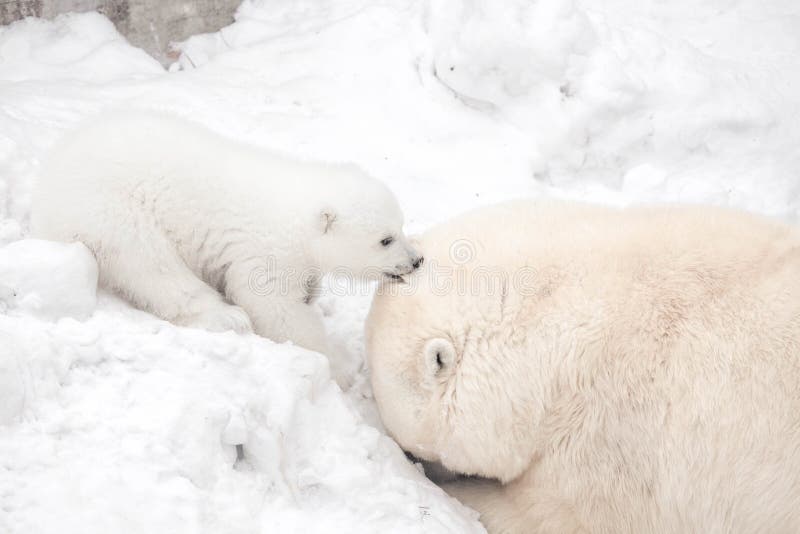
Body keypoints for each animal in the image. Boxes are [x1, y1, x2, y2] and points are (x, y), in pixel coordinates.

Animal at [31, 111, 422, 354]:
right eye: (385, 240)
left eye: (402, 225)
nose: (417, 260)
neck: (296, 221)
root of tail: (52, 177)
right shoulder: (264, 253)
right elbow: (276, 309)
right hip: (114, 211)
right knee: (153, 266)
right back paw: (224, 316)